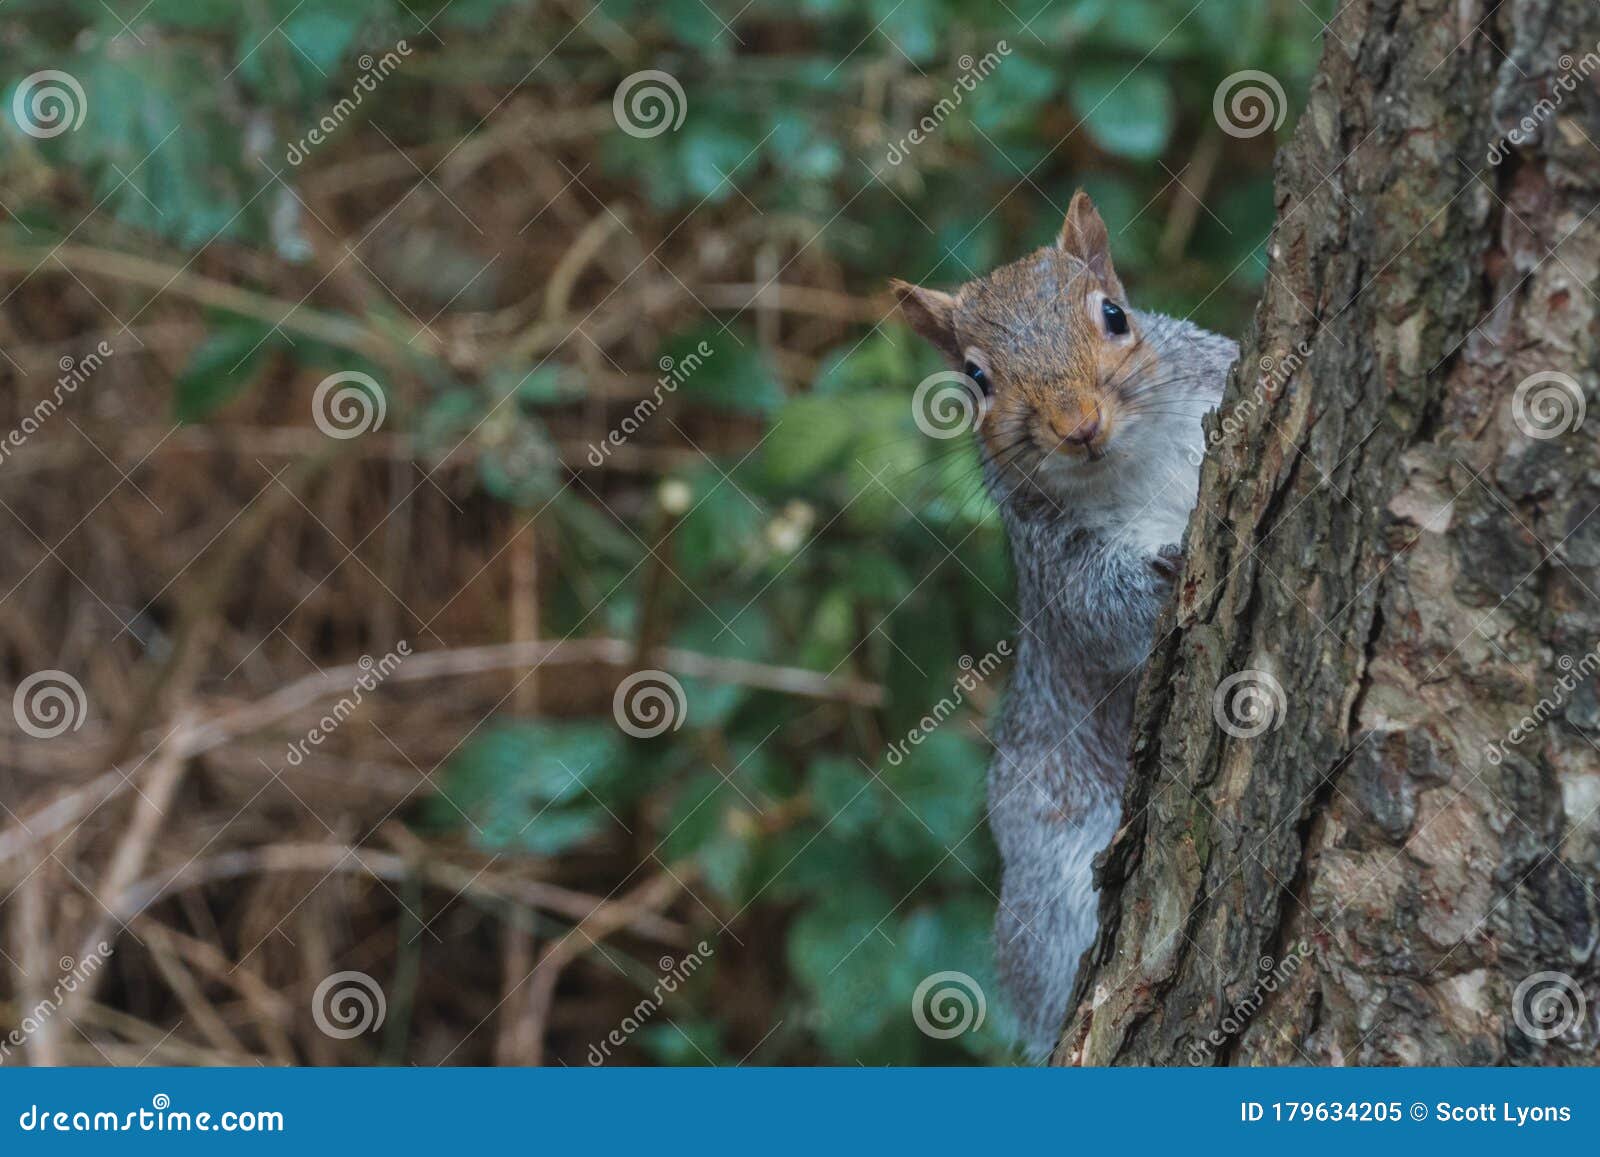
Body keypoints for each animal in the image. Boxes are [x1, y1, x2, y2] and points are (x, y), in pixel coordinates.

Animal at [893, 191, 1238, 1060]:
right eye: (975, 377)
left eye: (1115, 314)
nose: (1077, 422)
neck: (1131, 464)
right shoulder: (1053, 556)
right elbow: (1098, 611)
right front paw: (1161, 573)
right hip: (1051, 886)